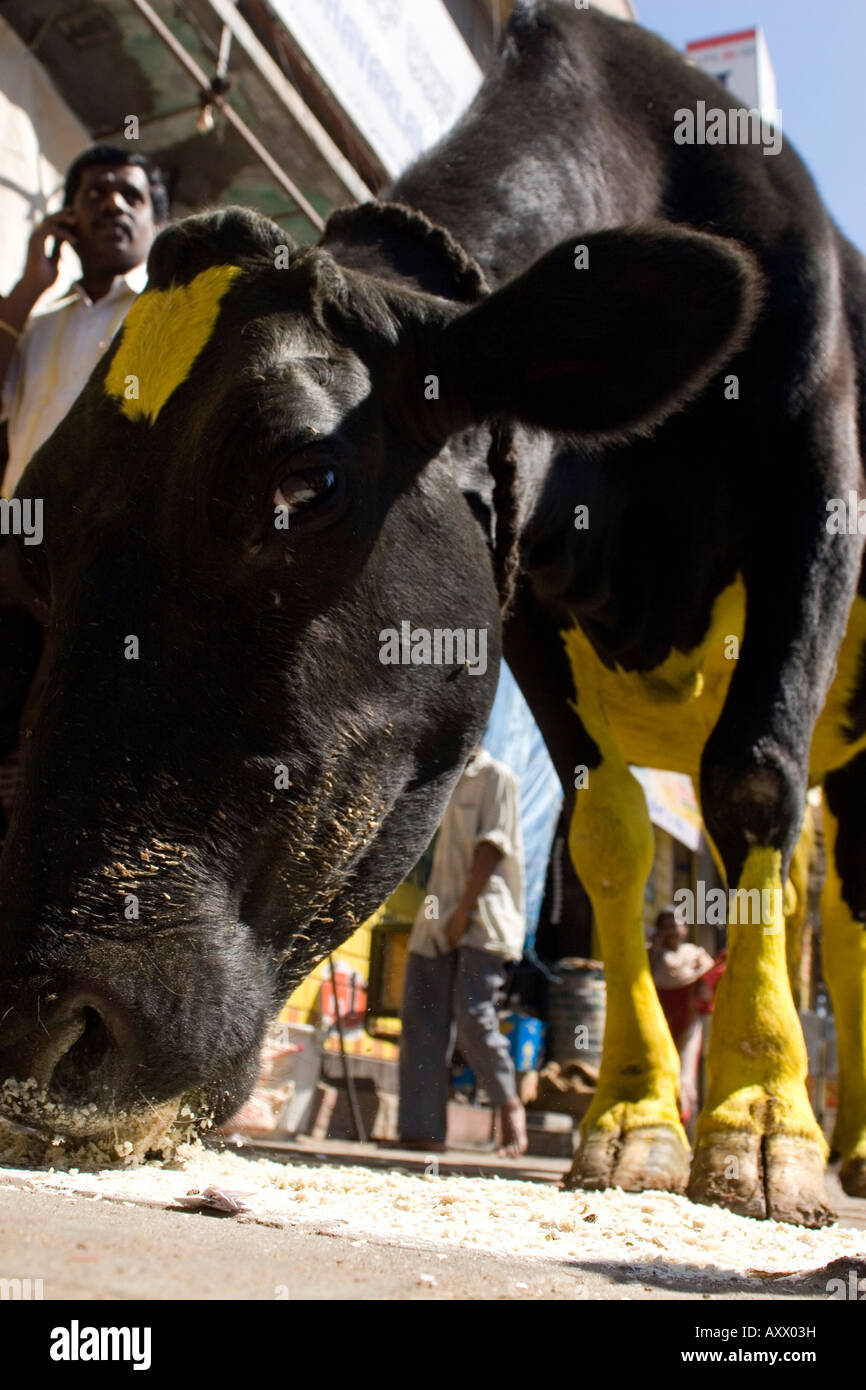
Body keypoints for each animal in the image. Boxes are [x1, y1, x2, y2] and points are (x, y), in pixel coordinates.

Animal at [0, 2, 863, 1227]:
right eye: (34, 543)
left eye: (305, 480)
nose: (36, 1027)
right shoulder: (533, 601)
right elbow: (605, 837)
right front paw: (635, 1120)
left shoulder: (813, 497)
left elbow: (750, 779)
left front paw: (759, 1127)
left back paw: (839, 1141)